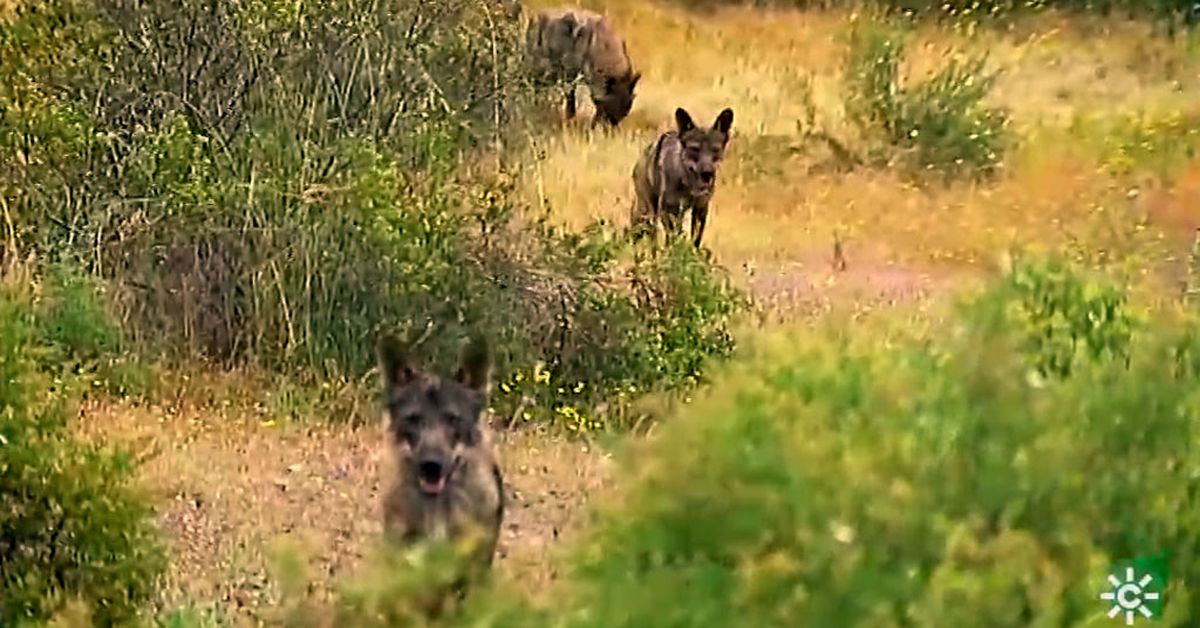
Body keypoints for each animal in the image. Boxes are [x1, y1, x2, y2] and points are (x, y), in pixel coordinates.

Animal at [630, 106, 735, 248]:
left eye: (716, 150)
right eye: (694, 149)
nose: (707, 172)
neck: (688, 184)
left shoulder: (700, 209)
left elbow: (695, 240)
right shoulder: (667, 210)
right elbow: (672, 239)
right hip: (648, 211)